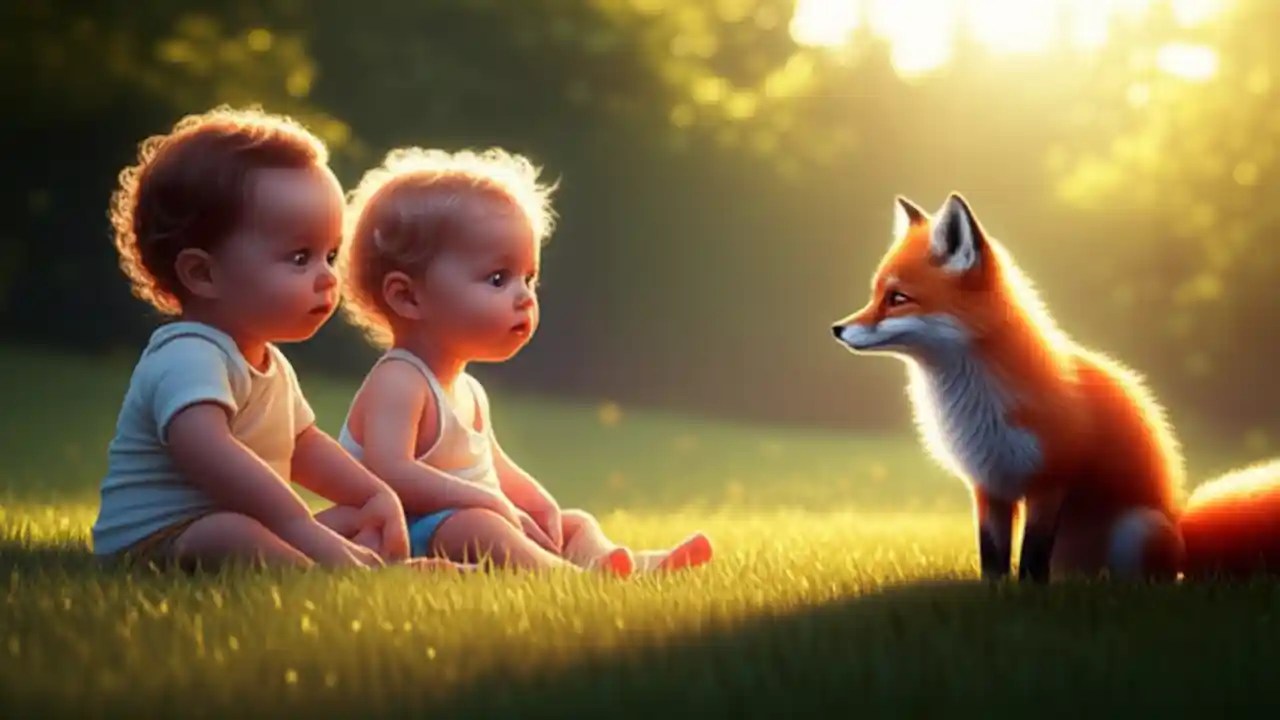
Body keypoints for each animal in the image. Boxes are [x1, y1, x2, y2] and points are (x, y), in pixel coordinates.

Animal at [831, 192, 1280, 582]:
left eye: (898, 298)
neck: (978, 402)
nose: (838, 329)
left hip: (1136, 532)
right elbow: (993, 560)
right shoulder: (989, 487)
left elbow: (1031, 558)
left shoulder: (1049, 483)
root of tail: (1184, 538)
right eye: (876, 294)